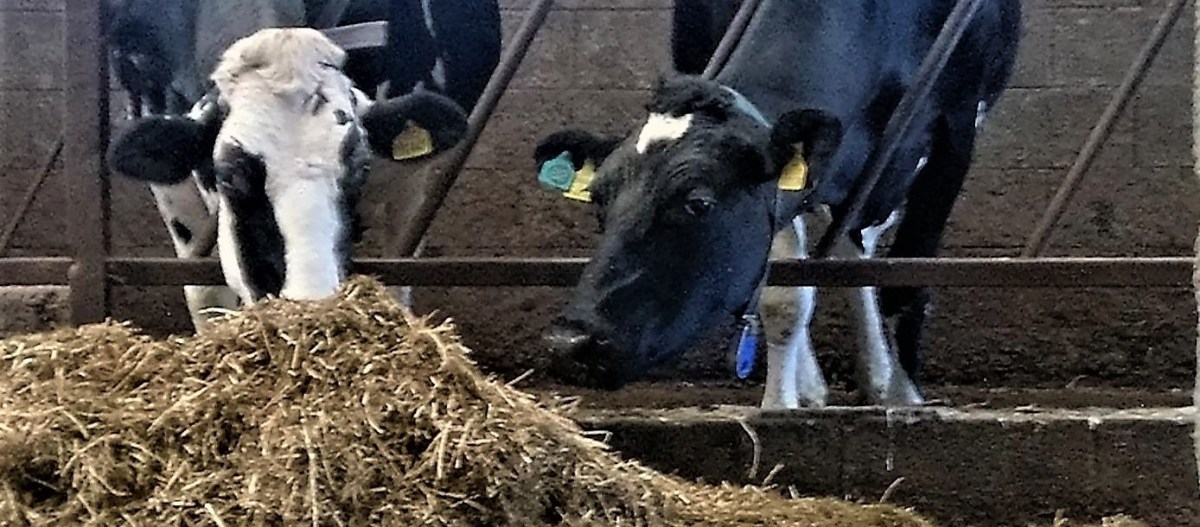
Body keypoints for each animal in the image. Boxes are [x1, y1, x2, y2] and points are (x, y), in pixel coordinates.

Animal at [532, 0, 1021, 408]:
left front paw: (907, 402)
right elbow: (784, 299)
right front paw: (780, 406)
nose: (568, 343)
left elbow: (908, 283)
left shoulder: (957, 127)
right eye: (599, 202)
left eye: (698, 202)